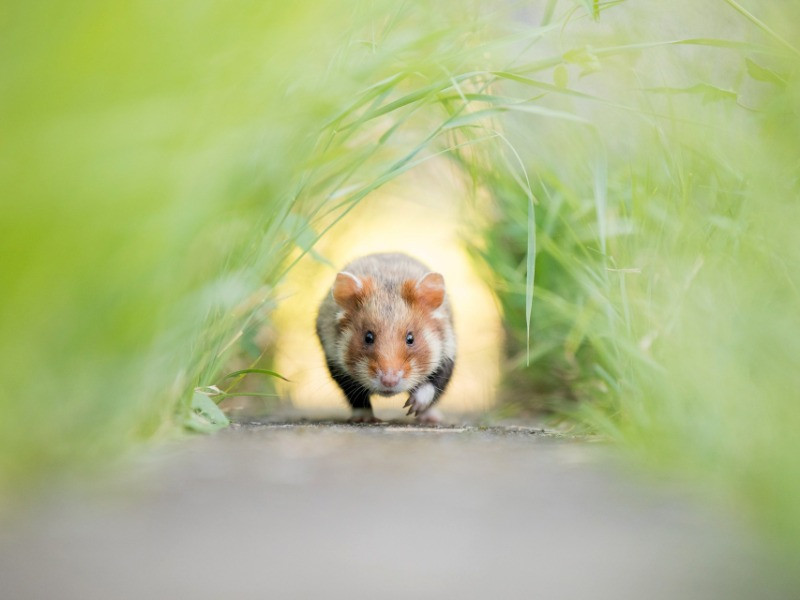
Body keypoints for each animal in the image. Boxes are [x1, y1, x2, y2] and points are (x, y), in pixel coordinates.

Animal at [316, 252, 456, 423]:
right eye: (368, 337)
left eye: (411, 338)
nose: (389, 381)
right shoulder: (336, 364)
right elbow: (357, 398)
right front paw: (364, 418)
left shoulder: (447, 355)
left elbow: (432, 386)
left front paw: (412, 407)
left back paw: (430, 418)